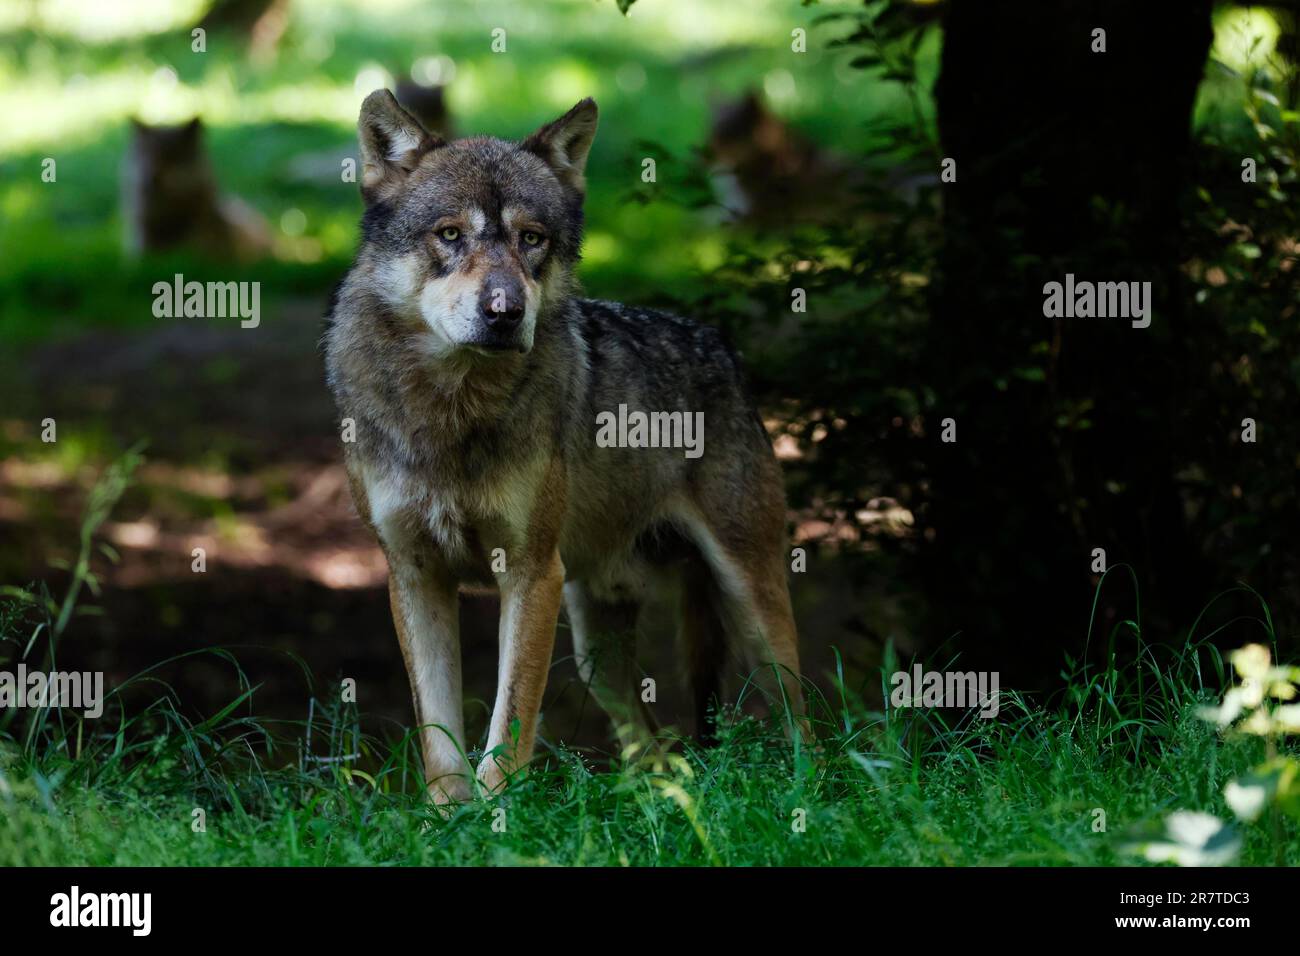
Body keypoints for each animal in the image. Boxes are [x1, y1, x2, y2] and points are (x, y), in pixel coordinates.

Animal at [324, 90, 805, 803]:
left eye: (532, 240)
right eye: (450, 235)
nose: (504, 312)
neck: (450, 410)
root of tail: (721, 346)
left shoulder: (530, 574)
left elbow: (509, 728)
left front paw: (496, 817)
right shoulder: (413, 575)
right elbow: (440, 743)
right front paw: (446, 820)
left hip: (748, 598)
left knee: (802, 717)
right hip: (595, 648)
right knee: (651, 746)